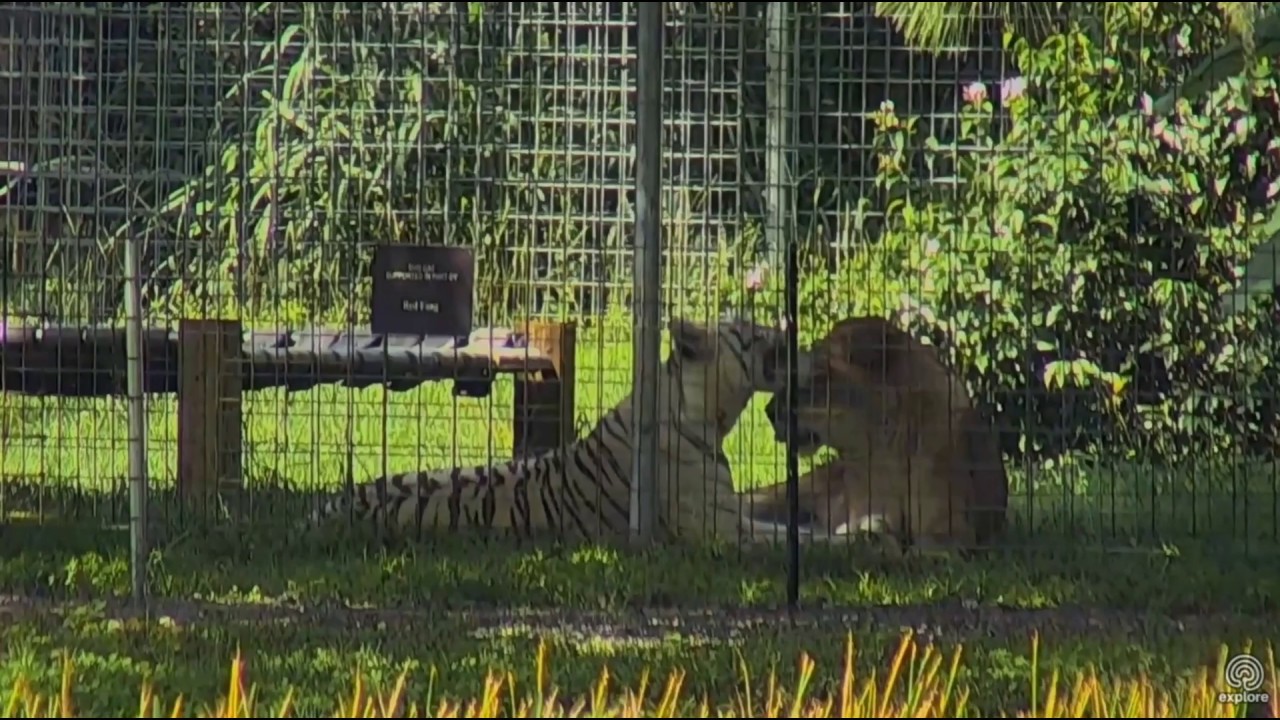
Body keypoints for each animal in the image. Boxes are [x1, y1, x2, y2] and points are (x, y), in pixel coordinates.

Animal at [740, 316, 1008, 555]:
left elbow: (929, 546)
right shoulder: (861, 512)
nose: (769, 411)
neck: (889, 447)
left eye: (816, 377)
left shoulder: (956, 532)